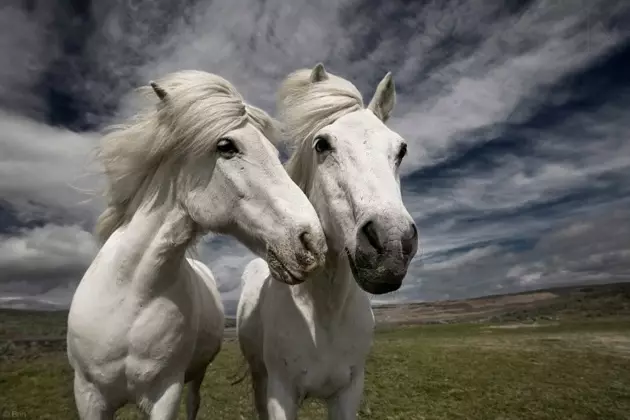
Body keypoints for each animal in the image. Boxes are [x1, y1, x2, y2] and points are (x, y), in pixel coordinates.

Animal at [66, 69, 328, 420]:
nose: (312, 242)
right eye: (226, 146)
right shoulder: (88, 396)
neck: (129, 295)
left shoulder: (166, 393)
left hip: (196, 374)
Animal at [237, 63, 420, 420]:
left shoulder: (348, 392)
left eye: (401, 150)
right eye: (322, 145)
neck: (326, 313)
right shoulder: (280, 394)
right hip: (258, 376)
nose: (391, 245)